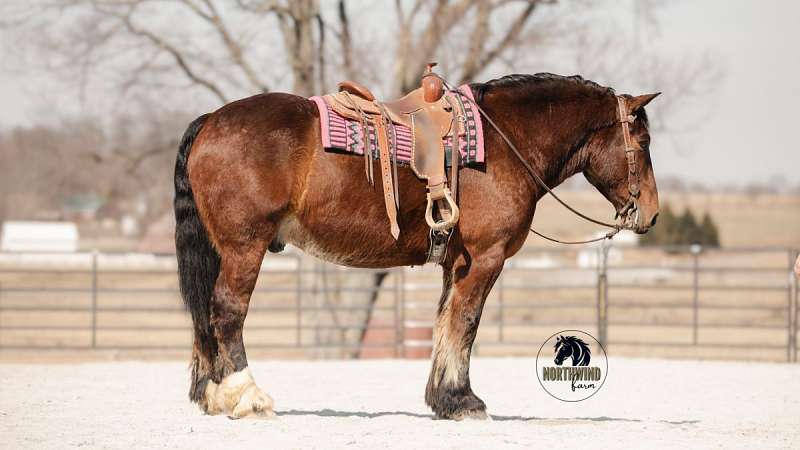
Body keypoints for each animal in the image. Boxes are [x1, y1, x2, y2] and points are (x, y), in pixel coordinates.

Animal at [173, 73, 660, 420]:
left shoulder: (456, 262)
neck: (505, 141)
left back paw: (214, 395)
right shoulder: (485, 258)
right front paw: (463, 400)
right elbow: (466, 323)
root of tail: (210, 120)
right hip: (244, 248)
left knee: (205, 315)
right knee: (227, 311)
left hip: (220, 250)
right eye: (644, 142)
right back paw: (248, 397)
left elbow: (445, 322)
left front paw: (444, 399)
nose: (652, 213)